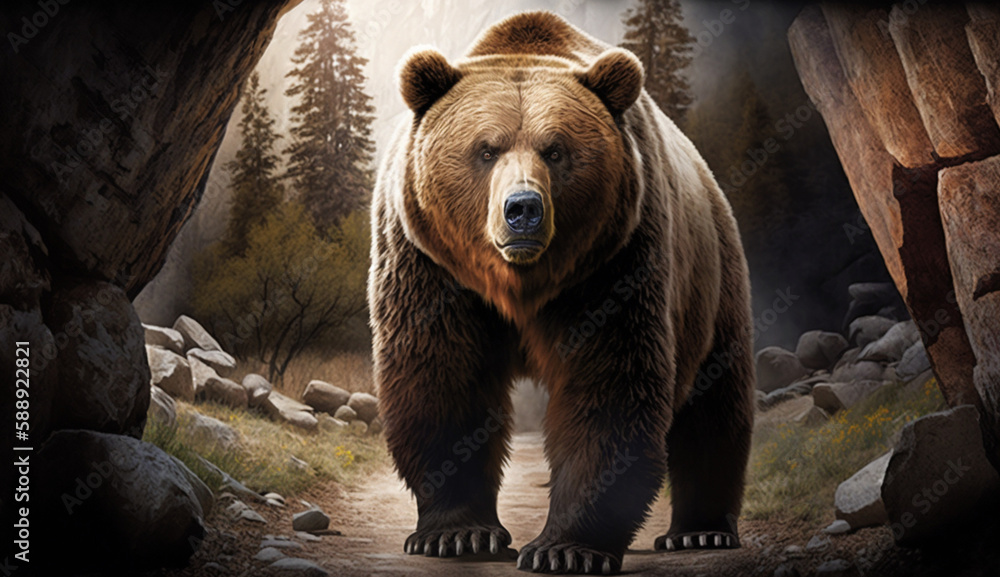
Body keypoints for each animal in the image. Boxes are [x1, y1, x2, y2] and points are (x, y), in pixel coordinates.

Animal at [369, 11, 755, 575]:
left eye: (556, 150)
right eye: (486, 149)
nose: (523, 209)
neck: (520, 281)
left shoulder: (615, 260)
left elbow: (610, 384)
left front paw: (565, 549)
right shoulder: (430, 262)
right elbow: (441, 374)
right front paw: (458, 533)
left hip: (714, 280)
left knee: (716, 401)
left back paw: (700, 531)